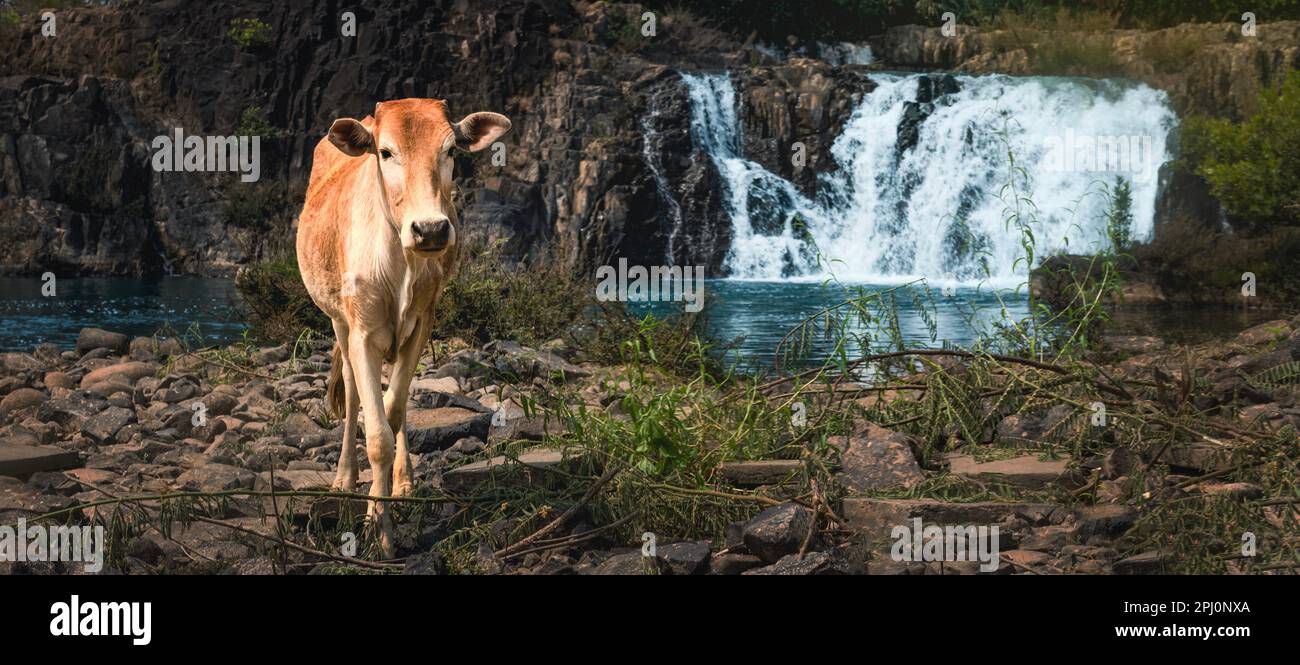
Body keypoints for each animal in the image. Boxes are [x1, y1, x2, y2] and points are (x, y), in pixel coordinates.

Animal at [296, 99, 510, 557]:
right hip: (337, 321)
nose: (429, 229)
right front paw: (379, 529)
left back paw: (405, 480)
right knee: (351, 390)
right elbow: (376, 431)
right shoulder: (360, 332)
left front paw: (392, 497)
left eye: (449, 150)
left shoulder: (422, 324)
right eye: (386, 152)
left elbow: (394, 411)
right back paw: (344, 478)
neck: (400, 265)